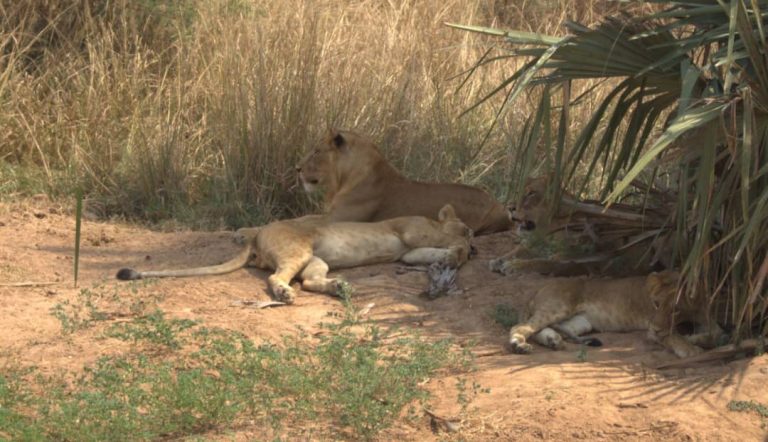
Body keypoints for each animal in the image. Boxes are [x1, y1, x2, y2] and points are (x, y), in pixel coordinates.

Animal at [117, 204, 472, 304]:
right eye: (469, 228)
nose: (476, 244)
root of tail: (258, 234)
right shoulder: (409, 230)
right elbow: (442, 242)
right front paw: (460, 251)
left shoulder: (410, 253)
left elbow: (426, 254)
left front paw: (451, 258)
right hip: (297, 250)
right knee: (279, 278)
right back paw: (284, 294)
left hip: (316, 260)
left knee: (309, 282)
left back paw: (339, 288)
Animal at [507, 271, 725, 358]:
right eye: (655, 304)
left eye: (676, 310)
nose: (656, 327)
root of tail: (539, 288)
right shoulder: (652, 329)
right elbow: (672, 335)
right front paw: (691, 348)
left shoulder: (705, 314)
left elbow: (716, 334)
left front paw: (694, 337)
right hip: (559, 307)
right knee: (522, 326)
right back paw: (519, 345)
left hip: (580, 321)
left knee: (542, 329)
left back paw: (553, 341)